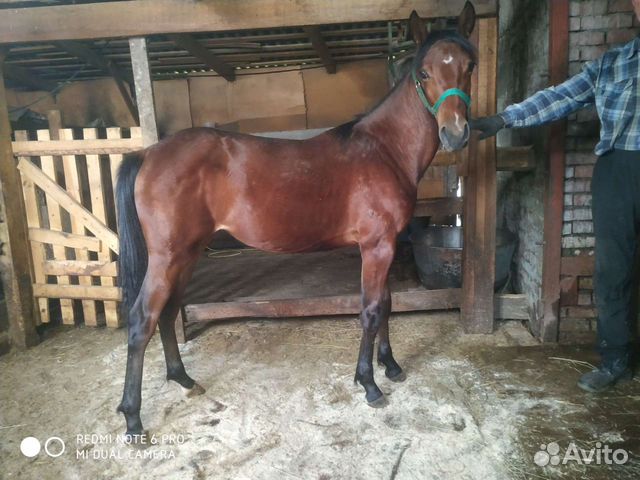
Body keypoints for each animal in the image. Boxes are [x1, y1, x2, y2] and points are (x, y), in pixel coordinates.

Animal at [115, 2, 478, 438]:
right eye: (423, 72)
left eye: (470, 66)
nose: (455, 134)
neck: (383, 150)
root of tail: (148, 153)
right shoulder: (376, 247)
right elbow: (371, 310)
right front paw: (368, 383)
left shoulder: (387, 245)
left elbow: (388, 304)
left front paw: (390, 366)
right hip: (167, 257)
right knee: (142, 321)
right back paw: (133, 416)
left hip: (187, 254)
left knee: (167, 312)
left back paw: (182, 379)